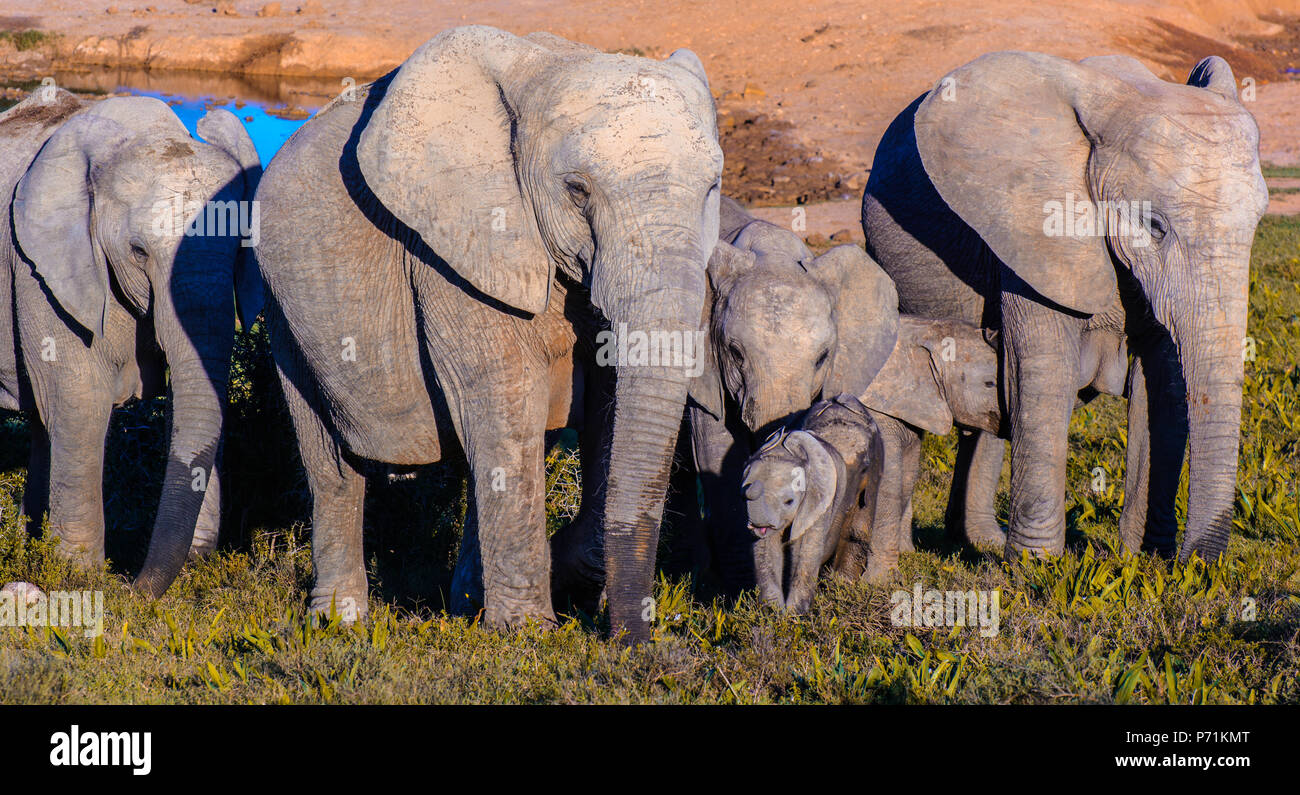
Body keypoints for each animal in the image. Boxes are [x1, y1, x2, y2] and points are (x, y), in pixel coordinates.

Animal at [0, 88, 262, 593]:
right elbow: (82, 402)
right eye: (138, 252)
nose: (133, 585)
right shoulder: (40, 270)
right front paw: (81, 579)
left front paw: (194, 564)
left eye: (238, 246)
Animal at [253, 26, 722, 642]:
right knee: (331, 463)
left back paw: (464, 610)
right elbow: (505, 396)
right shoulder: (453, 250)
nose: (633, 643)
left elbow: (605, 410)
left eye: (713, 188)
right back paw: (341, 624)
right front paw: (530, 638)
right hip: (285, 310)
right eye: (577, 191)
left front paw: (550, 592)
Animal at [861, 52, 1268, 562]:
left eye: (1259, 220)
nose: (1194, 562)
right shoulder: (1030, 232)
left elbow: (1164, 383)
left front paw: (1142, 561)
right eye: (1155, 226)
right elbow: (1045, 371)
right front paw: (1037, 566)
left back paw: (977, 542)